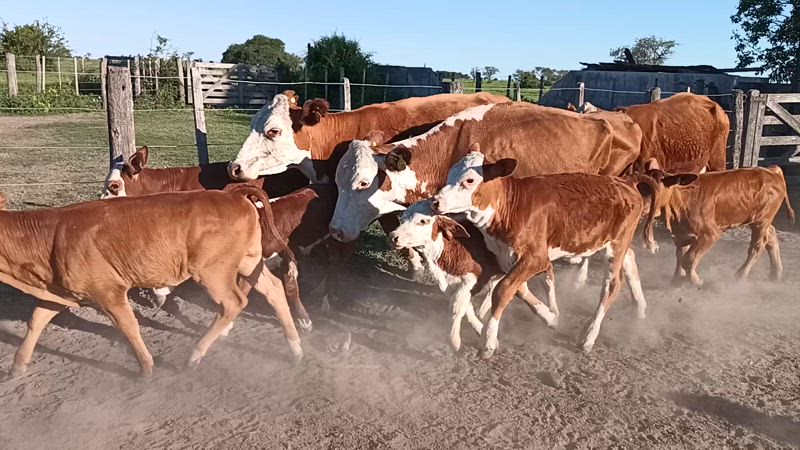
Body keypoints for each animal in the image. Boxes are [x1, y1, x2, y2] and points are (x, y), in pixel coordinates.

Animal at [0, 186, 303, 378]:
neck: (52, 234)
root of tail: (231, 193)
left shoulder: (109, 292)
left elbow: (128, 327)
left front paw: (146, 368)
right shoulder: (57, 293)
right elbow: (36, 321)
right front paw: (17, 366)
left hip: (213, 271)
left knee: (234, 303)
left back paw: (195, 355)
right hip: (249, 260)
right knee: (274, 290)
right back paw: (295, 348)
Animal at [431, 148, 657, 356]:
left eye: (469, 180)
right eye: (450, 173)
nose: (435, 201)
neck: (512, 208)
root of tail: (626, 181)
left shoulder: (536, 258)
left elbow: (503, 289)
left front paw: (488, 341)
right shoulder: (506, 258)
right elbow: (519, 289)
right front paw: (551, 317)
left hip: (617, 243)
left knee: (612, 285)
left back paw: (589, 336)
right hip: (615, 243)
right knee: (630, 258)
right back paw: (639, 308)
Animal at [643, 162, 795, 286]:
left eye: (656, 189)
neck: (682, 199)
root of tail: (772, 171)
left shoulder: (710, 234)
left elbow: (688, 259)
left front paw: (696, 280)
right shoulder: (681, 234)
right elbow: (680, 256)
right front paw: (675, 281)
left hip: (762, 221)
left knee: (758, 246)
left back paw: (740, 276)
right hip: (757, 221)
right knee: (771, 235)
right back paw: (775, 274)